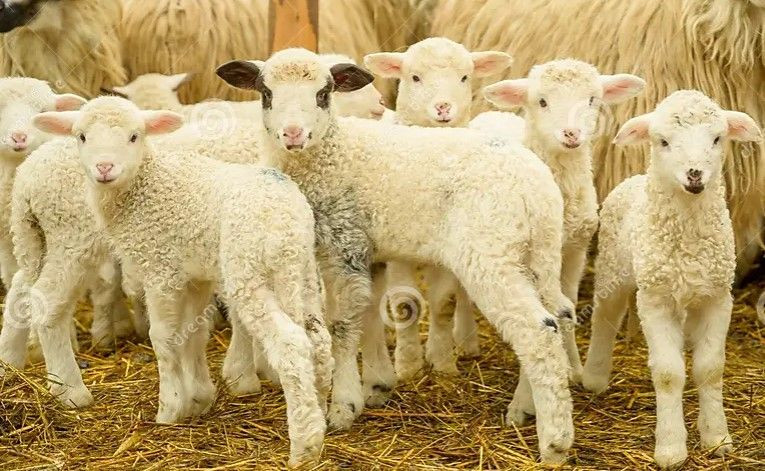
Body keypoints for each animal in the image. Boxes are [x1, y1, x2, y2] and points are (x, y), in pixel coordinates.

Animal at [30, 96, 332, 466]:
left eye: (134, 136)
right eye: (82, 136)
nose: (104, 168)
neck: (144, 185)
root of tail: (287, 221)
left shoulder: (160, 268)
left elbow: (163, 338)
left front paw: (170, 408)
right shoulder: (194, 275)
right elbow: (193, 334)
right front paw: (198, 399)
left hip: (248, 272)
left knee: (290, 343)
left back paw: (305, 444)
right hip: (301, 273)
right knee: (318, 339)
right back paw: (320, 413)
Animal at [360, 37, 512, 389]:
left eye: (465, 77)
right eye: (414, 77)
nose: (443, 108)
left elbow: (443, 304)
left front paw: (443, 363)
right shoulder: (398, 254)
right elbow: (405, 304)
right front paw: (408, 366)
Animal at [474, 60, 645, 400]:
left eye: (592, 100)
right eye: (542, 101)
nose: (571, 133)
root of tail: (493, 114)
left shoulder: (576, 250)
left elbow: (566, 305)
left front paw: (574, 369)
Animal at [580, 90, 762, 469]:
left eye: (717, 139)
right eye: (663, 141)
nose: (695, 174)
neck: (689, 237)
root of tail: (634, 179)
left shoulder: (718, 297)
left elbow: (710, 369)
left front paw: (717, 438)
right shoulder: (656, 301)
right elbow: (667, 374)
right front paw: (671, 447)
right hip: (613, 269)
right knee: (605, 317)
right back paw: (595, 376)